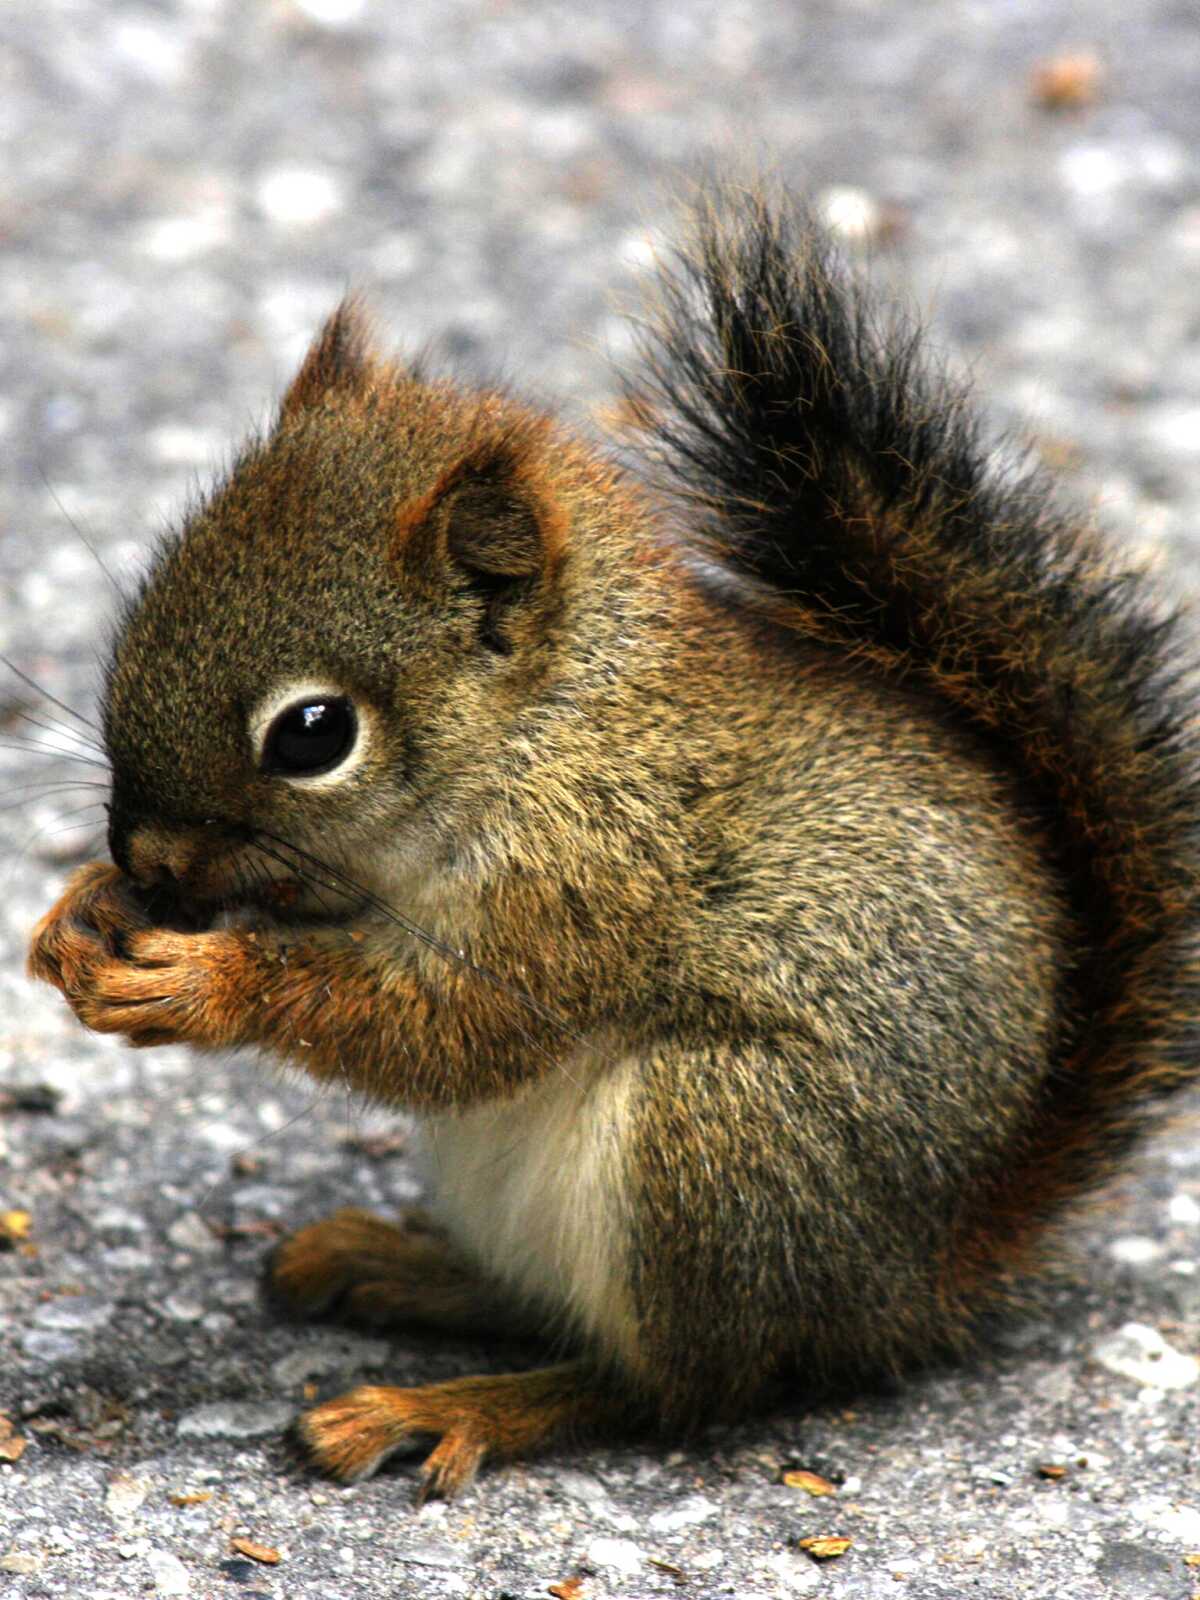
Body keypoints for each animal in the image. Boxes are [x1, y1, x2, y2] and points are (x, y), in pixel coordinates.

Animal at [27, 188, 1200, 1501]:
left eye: (312, 734)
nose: (149, 859)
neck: (549, 728)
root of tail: (911, 1285)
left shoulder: (589, 877)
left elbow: (455, 1028)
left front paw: (204, 981)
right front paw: (79, 915)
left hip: (721, 1142)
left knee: (673, 1387)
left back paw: (455, 1405)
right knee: (553, 1309)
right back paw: (398, 1265)